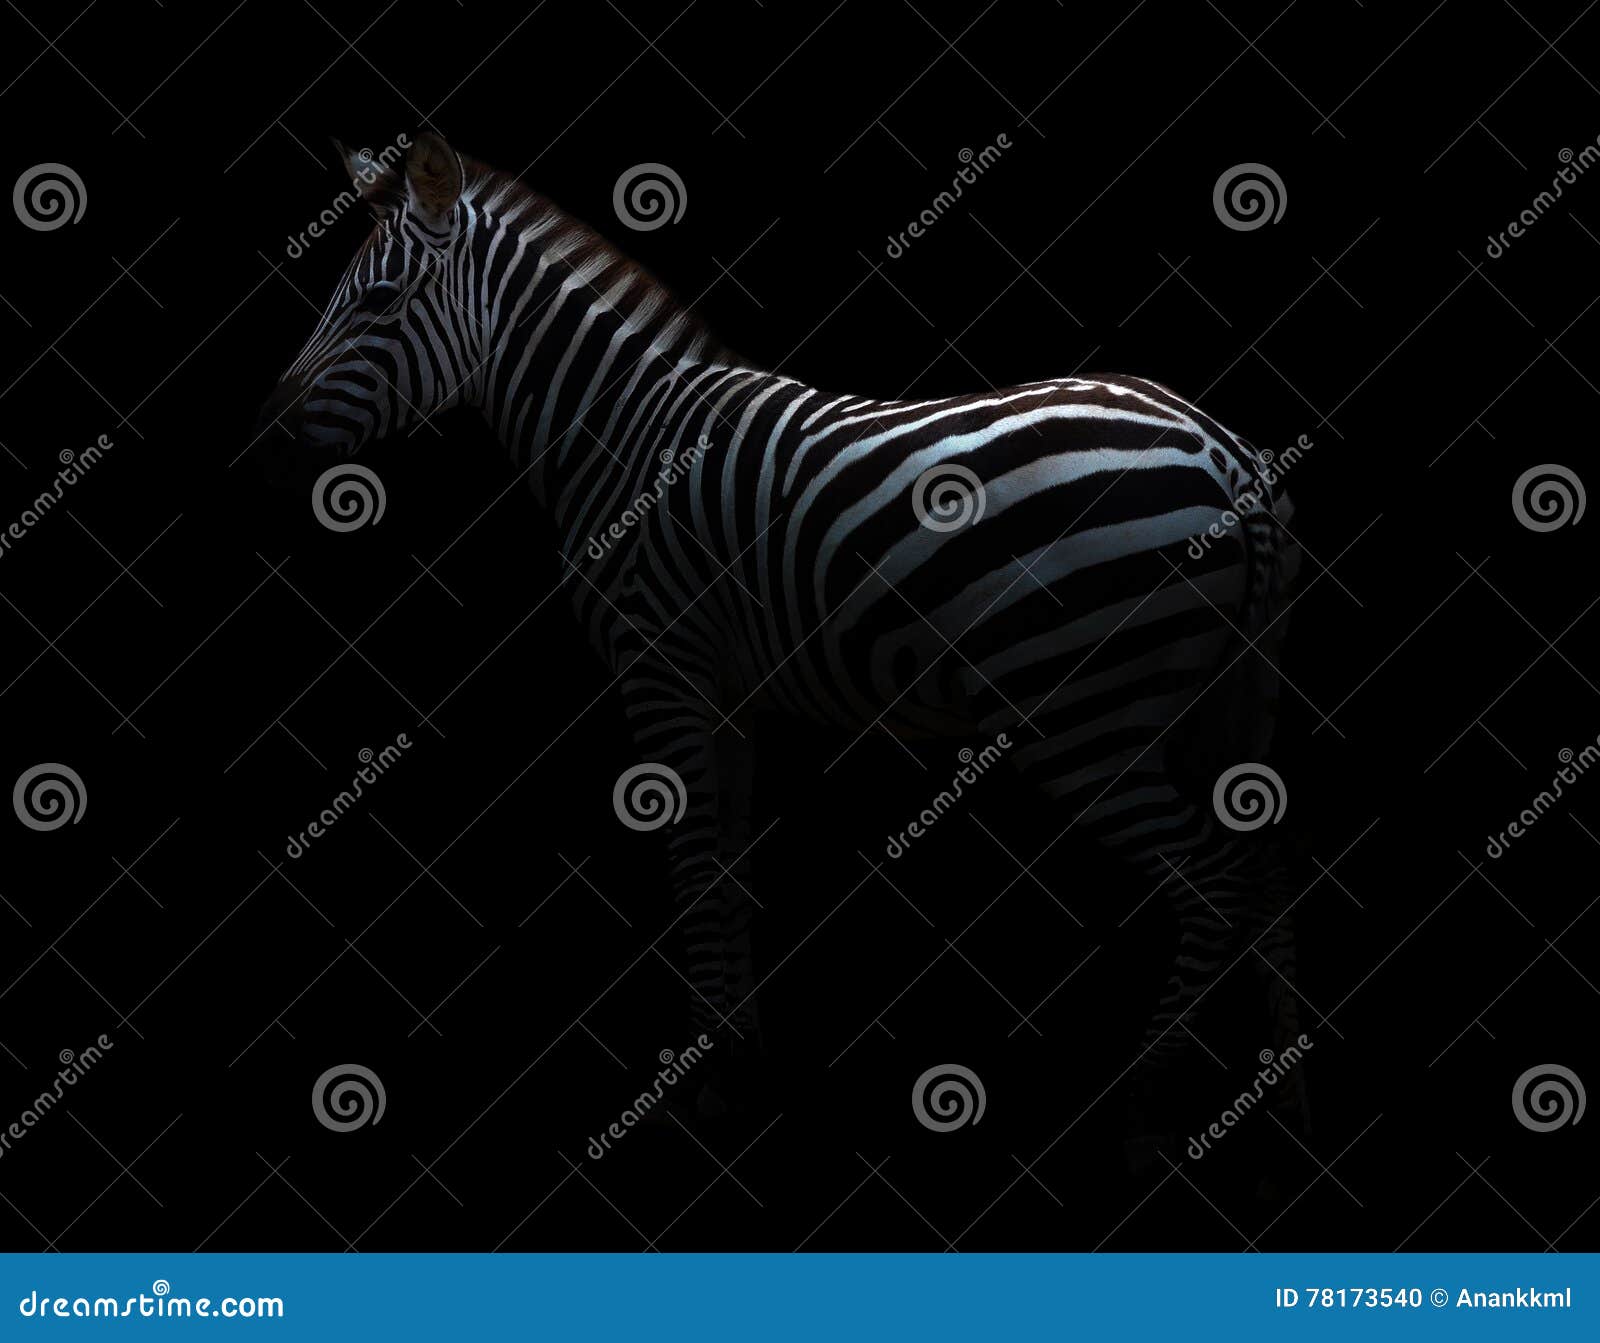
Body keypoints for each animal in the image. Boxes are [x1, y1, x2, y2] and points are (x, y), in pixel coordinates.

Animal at [254, 132, 1308, 1140]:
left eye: (378, 300)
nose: (268, 439)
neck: (620, 436)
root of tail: (1223, 450)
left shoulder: (662, 667)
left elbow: (690, 864)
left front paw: (699, 1086)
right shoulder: (725, 693)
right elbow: (728, 865)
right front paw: (738, 1067)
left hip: (1084, 716)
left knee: (1217, 881)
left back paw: (1139, 1099)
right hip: (1219, 700)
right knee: (1264, 872)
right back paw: (1280, 1089)